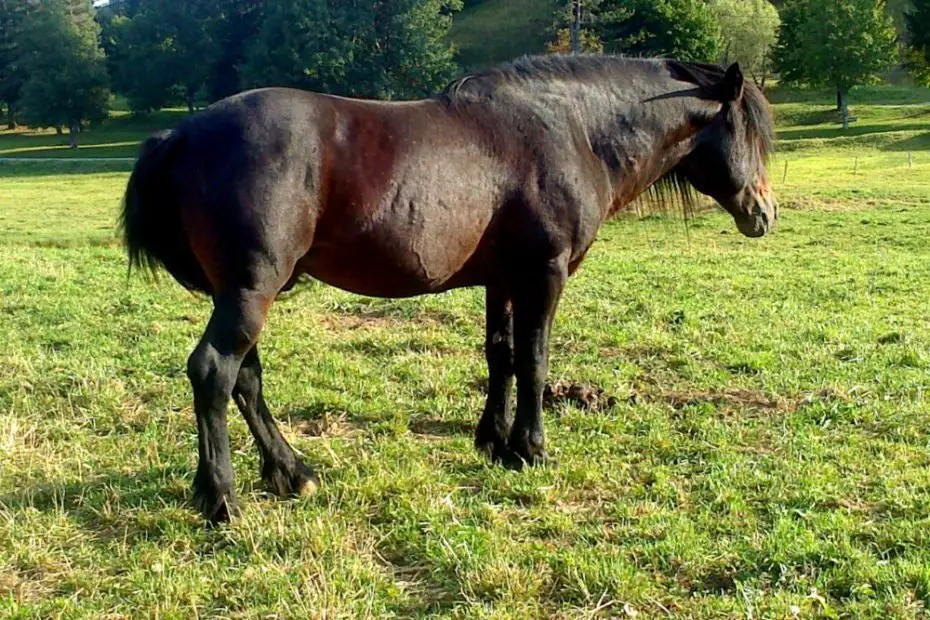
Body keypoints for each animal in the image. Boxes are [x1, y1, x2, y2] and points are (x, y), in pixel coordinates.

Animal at [121, 55, 777, 523]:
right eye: (748, 132)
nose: (763, 214)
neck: (571, 130)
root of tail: (180, 134)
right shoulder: (544, 272)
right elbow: (535, 359)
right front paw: (532, 448)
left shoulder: (503, 277)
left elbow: (500, 355)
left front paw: (494, 441)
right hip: (250, 290)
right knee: (215, 372)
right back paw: (222, 499)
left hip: (237, 293)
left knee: (246, 380)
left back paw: (290, 473)